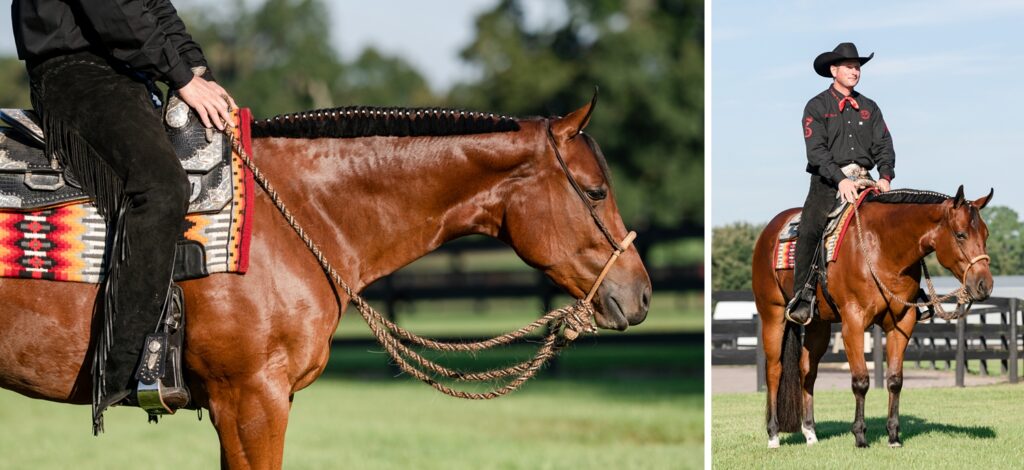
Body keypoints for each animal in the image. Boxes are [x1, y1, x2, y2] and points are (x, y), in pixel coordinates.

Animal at [751, 186, 993, 449]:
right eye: (960, 235)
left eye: (986, 235)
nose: (984, 285)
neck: (882, 248)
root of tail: (769, 231)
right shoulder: (853, 324)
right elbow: (861, 381)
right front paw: (860, 436)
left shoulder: (901, 324)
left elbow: (895, 380)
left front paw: (894, 436)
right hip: (773, 314)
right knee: (775, 370)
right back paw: (773, 435)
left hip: (818, 324)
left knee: (807, 370)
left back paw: (810, 433)